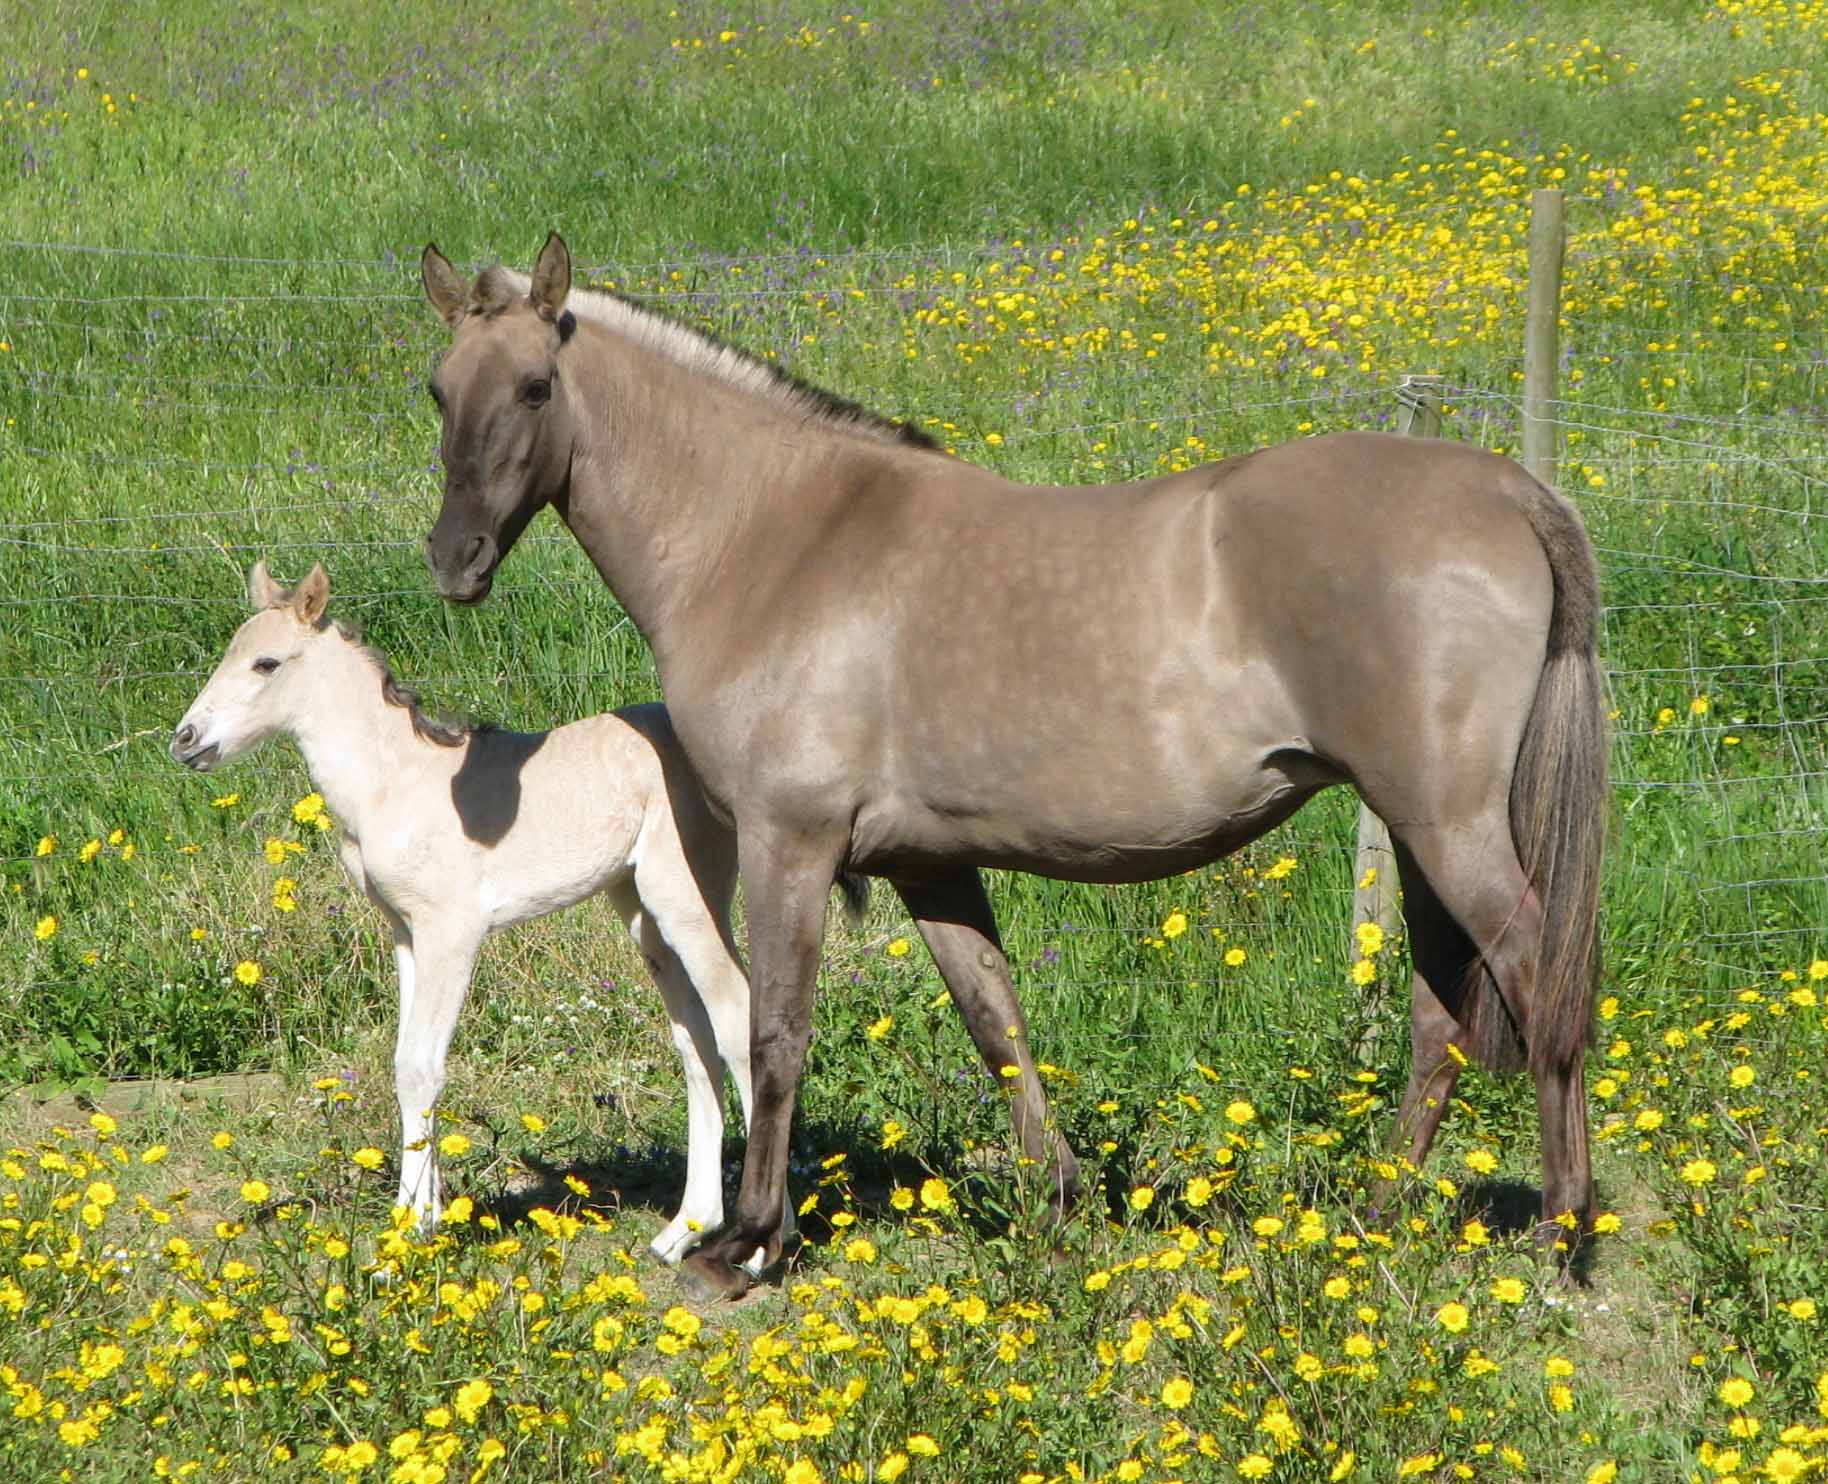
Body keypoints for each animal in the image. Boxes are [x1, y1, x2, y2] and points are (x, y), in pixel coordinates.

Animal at [170, 559, 814, 1265]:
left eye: (266, 663)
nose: (186, 740)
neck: (396, 781)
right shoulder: (406, 934)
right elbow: (405, 1064)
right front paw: (419, 1217)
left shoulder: (452, 930)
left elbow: (422, 1066)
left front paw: (412, 1232)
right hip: (641, 911)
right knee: (694, 1041)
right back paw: (687, 1228)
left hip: (686, 897)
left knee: (733, 1017)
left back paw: (764, 1242)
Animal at [417, 232, 1608, 1301]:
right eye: (438, 390)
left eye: (534, 386)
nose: (454, 559)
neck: (778, 538)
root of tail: (1508, 492)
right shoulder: (927, 862)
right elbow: (995, 1018)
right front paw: (1057, 1200)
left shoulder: (787, 843)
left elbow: (772, 1033)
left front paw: (750, 1240)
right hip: (1414, 829)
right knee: (1441, 1013)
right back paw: (1372, 1217)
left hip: (1446, 825)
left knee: (1538, 982)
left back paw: (1560, 1240)